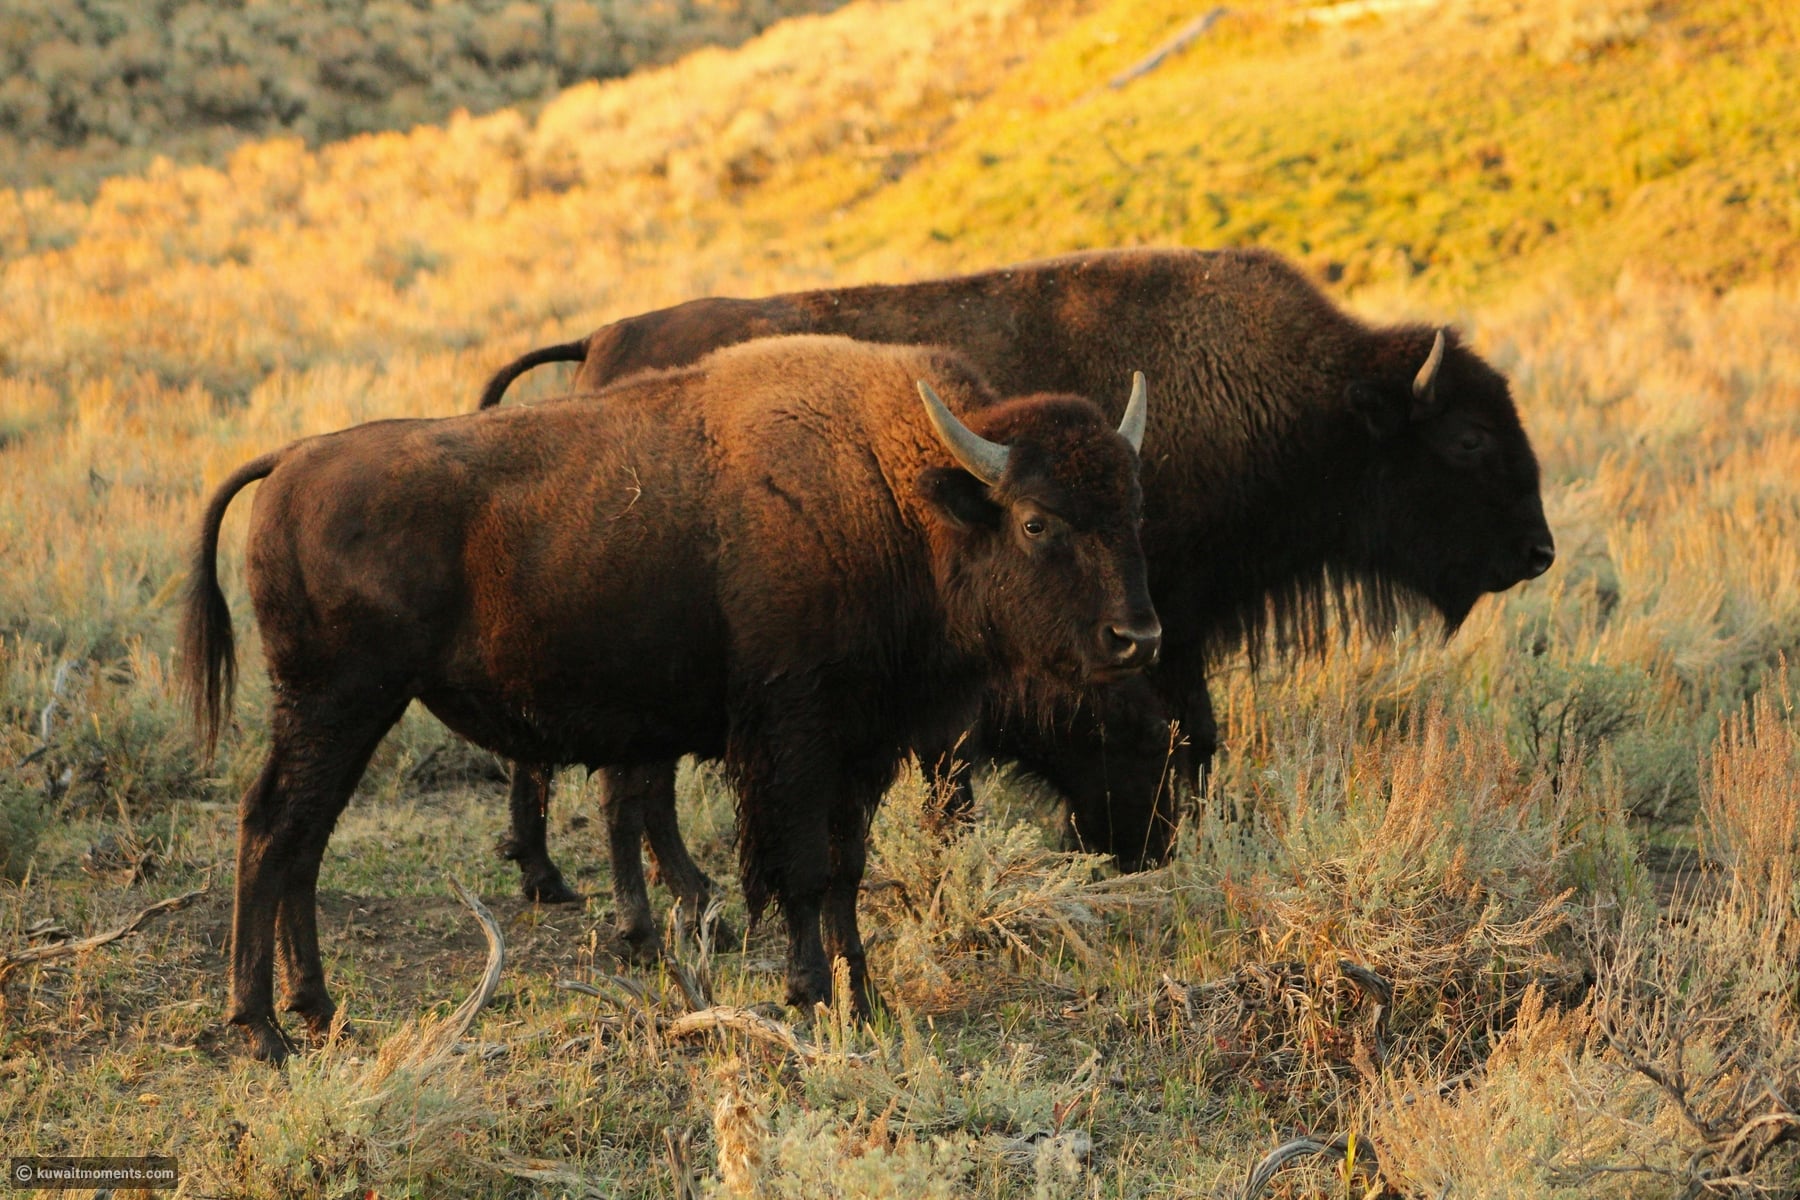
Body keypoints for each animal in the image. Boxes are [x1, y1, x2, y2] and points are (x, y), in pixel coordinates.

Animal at [181, 335, 1158, 1061]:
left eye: (1130, 512)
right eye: (1036, 521)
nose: (1137, 639)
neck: (893, 490)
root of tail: (291, 461)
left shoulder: (865, 746)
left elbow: (847, 868)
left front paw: (865, 1000)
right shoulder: (795, 735)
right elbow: (803, 867)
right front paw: (810, 994)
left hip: (354, 713)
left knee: (304, 841)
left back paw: (318, 1012)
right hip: (335, 704)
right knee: (271, 828)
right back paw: (262, 1029)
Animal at [479, 246, 1555, 941]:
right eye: (1466, 439)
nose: (1540, 551)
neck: (1295, 399)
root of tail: (605, 339)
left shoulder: (1154, 628)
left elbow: (1189, 731)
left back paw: (587, 885)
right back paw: (622, 894)